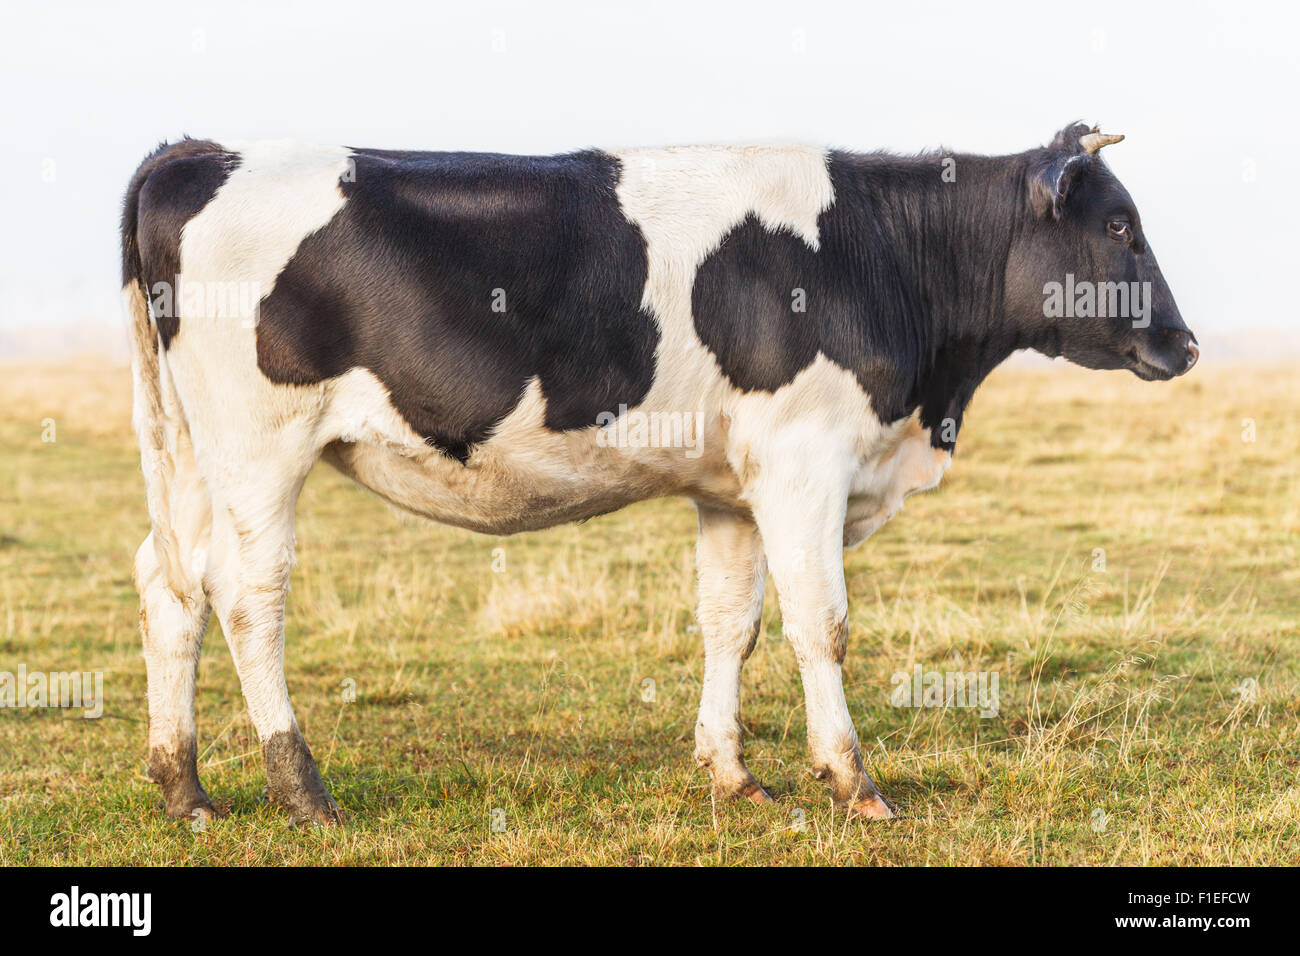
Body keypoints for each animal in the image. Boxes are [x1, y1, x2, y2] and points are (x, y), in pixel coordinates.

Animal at [121, 123, 1197, 825]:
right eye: (1118, 227)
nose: (1184, 344)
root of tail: (198, 152)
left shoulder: (735, 488)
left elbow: (733, 622)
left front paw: (732, 772)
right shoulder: (803, 461)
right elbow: (822, 624)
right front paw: (854, 782)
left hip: (188, 449)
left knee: (170, 583)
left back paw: (185, 787)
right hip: (260, 443)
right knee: (247, 594)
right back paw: (302, 791)